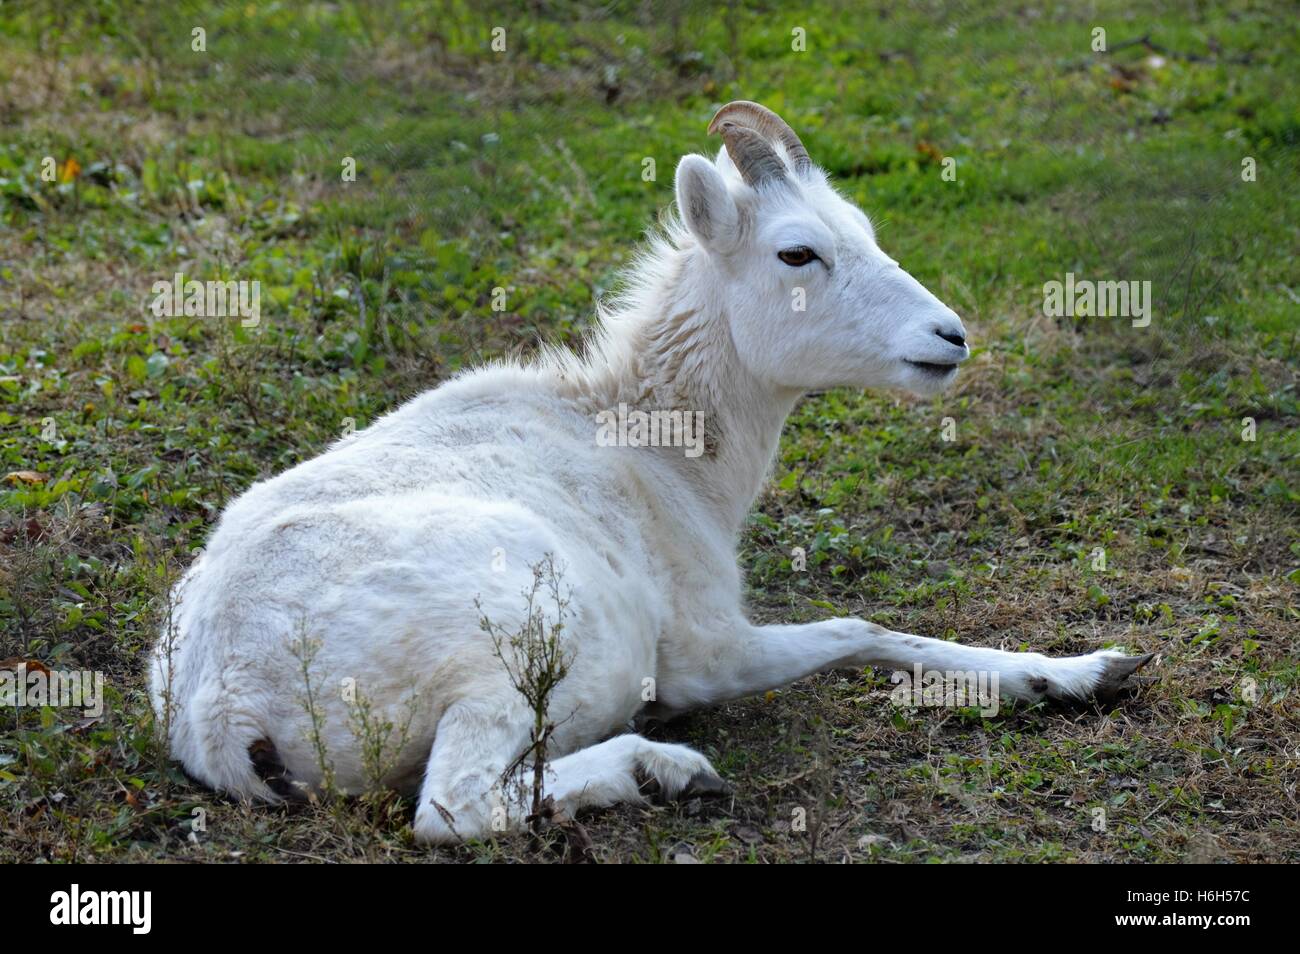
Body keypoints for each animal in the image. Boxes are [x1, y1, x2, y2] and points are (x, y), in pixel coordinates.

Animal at [150, 101, 1152, 844]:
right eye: (797, 251)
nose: (949, 337)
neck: (654, 446)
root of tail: (228, 708)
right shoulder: (705, 653)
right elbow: (861, 628)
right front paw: (1083, 670)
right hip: (506, 653)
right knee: (452, 808)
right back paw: (662, 768)